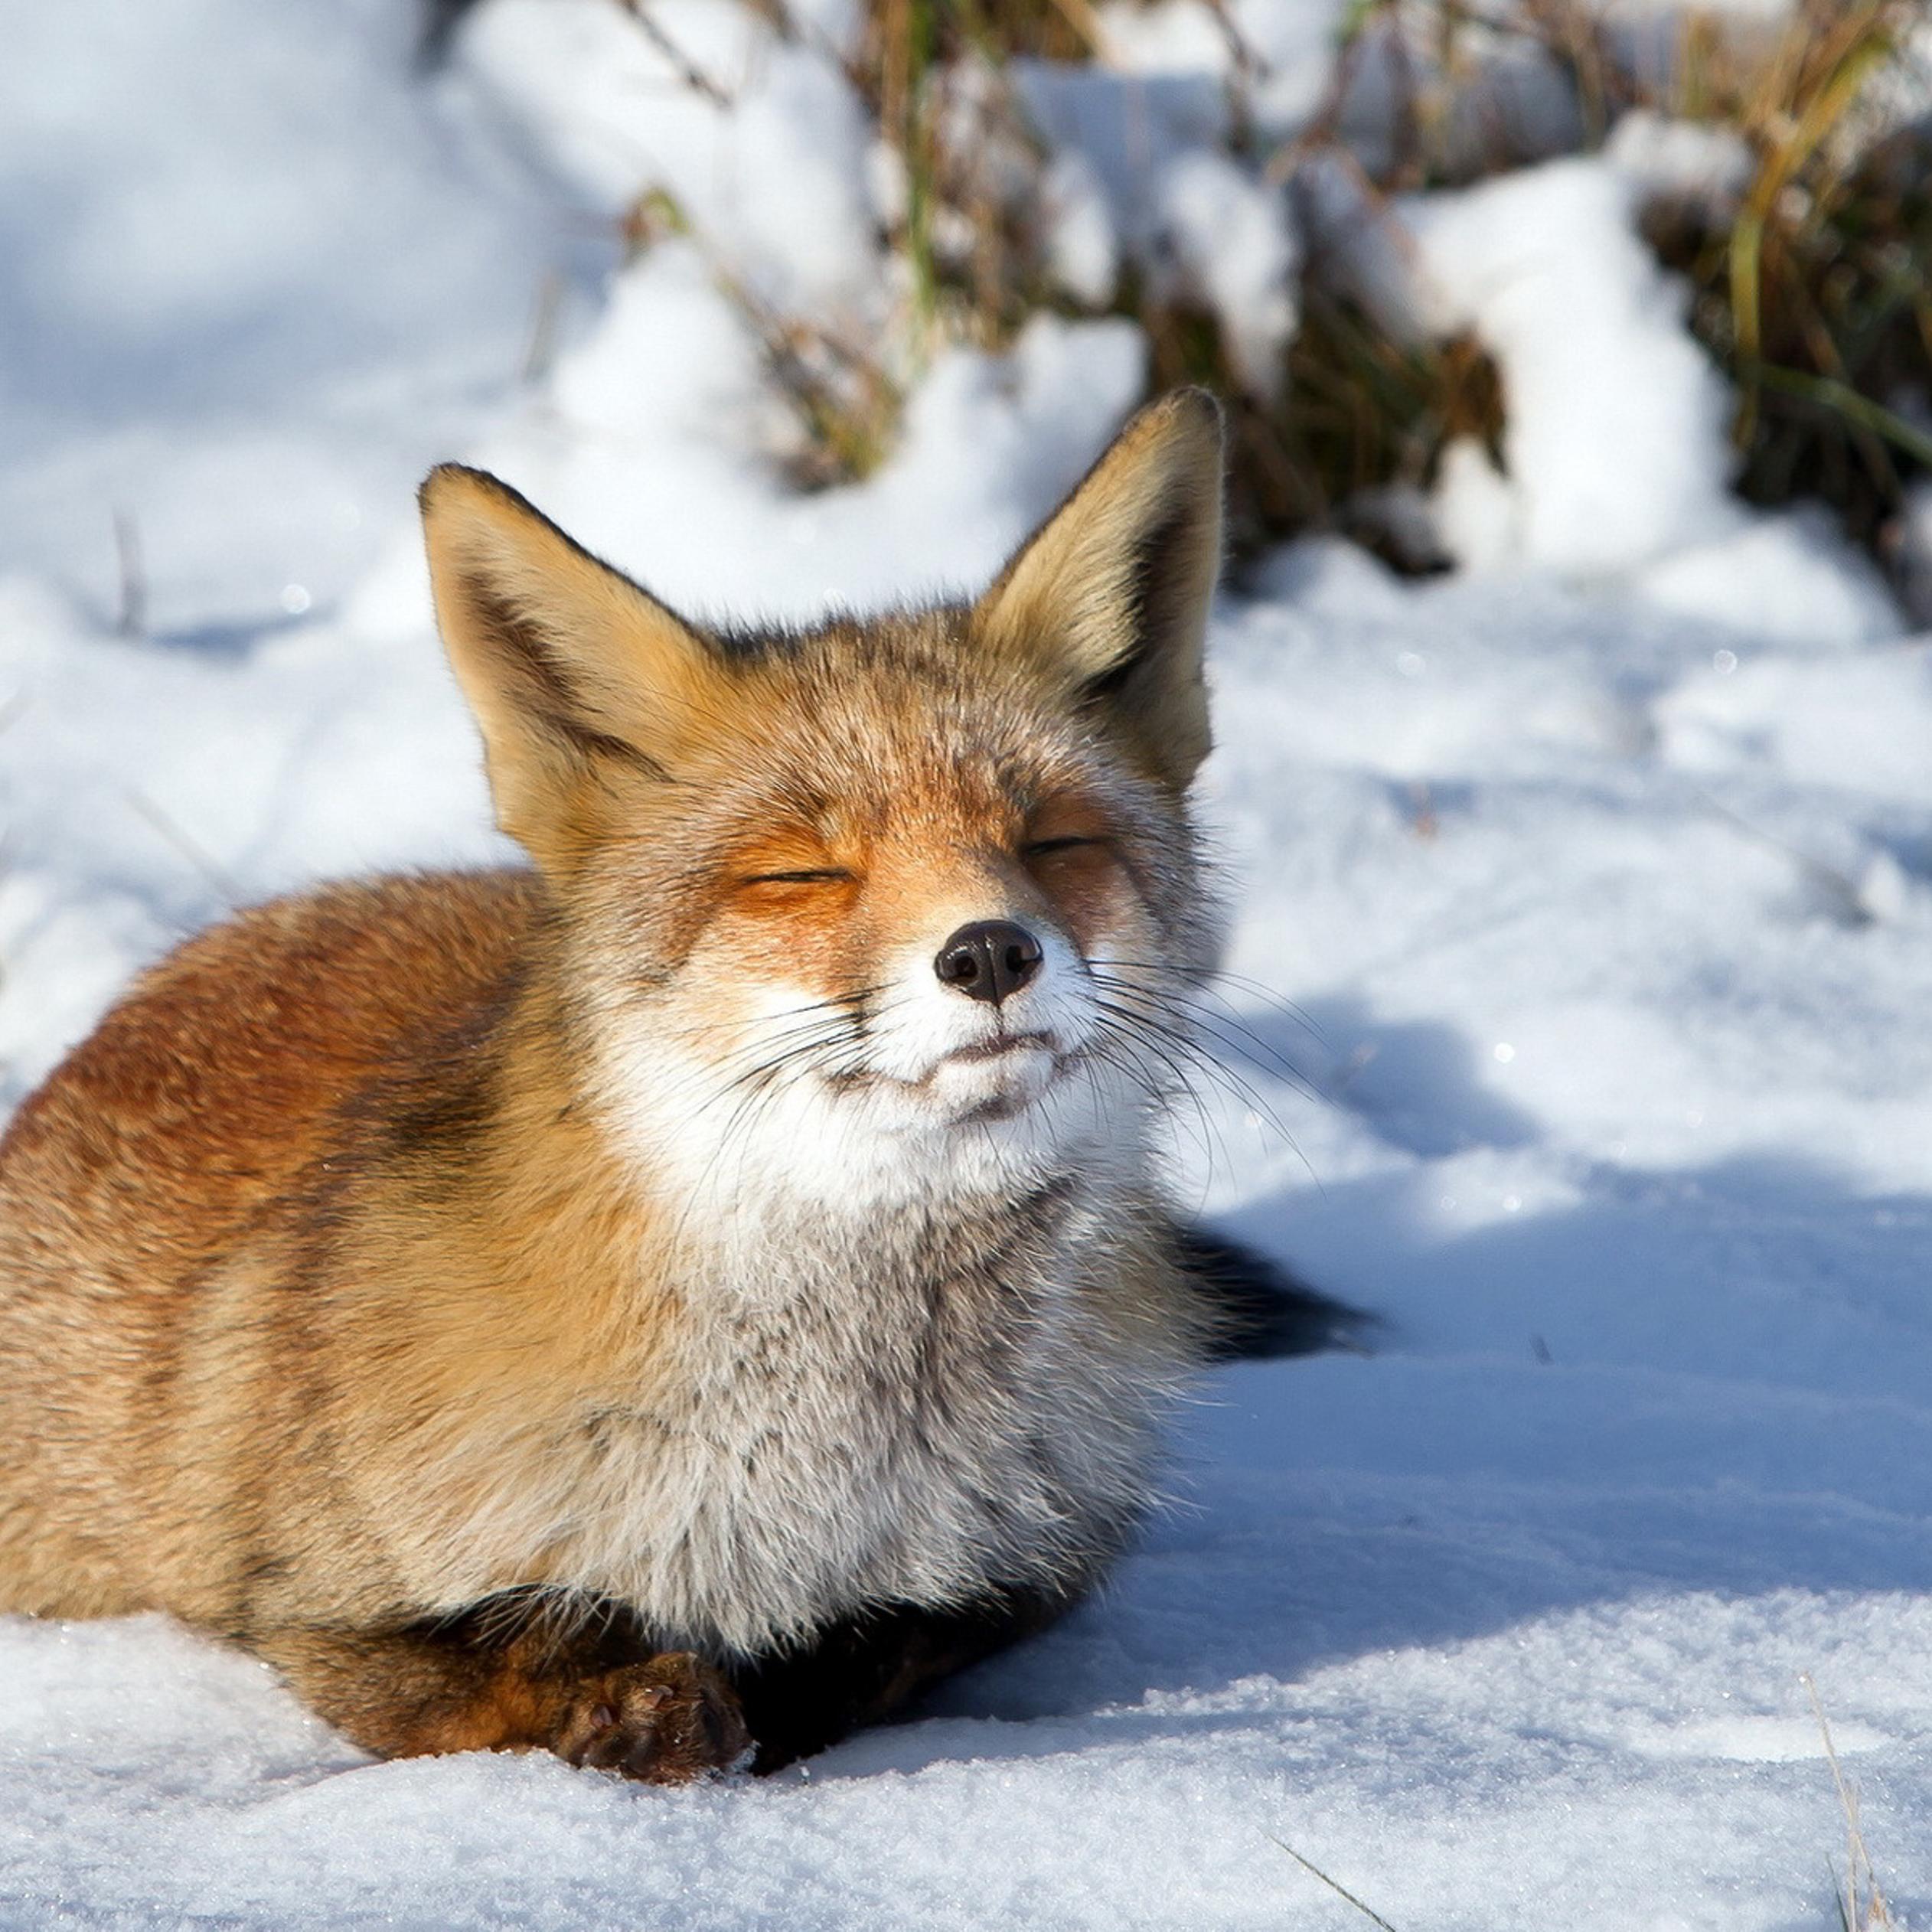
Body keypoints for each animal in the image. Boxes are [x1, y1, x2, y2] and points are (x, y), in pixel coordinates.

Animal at [0, 389, 1341, 1783]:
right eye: (800, 874)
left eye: (1054, 840)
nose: (989, 952)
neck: (841, 1448)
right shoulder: (307, 1601)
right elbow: (505, 1649)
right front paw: (636, 1699)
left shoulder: (1035, 1559)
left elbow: (879, 1645)